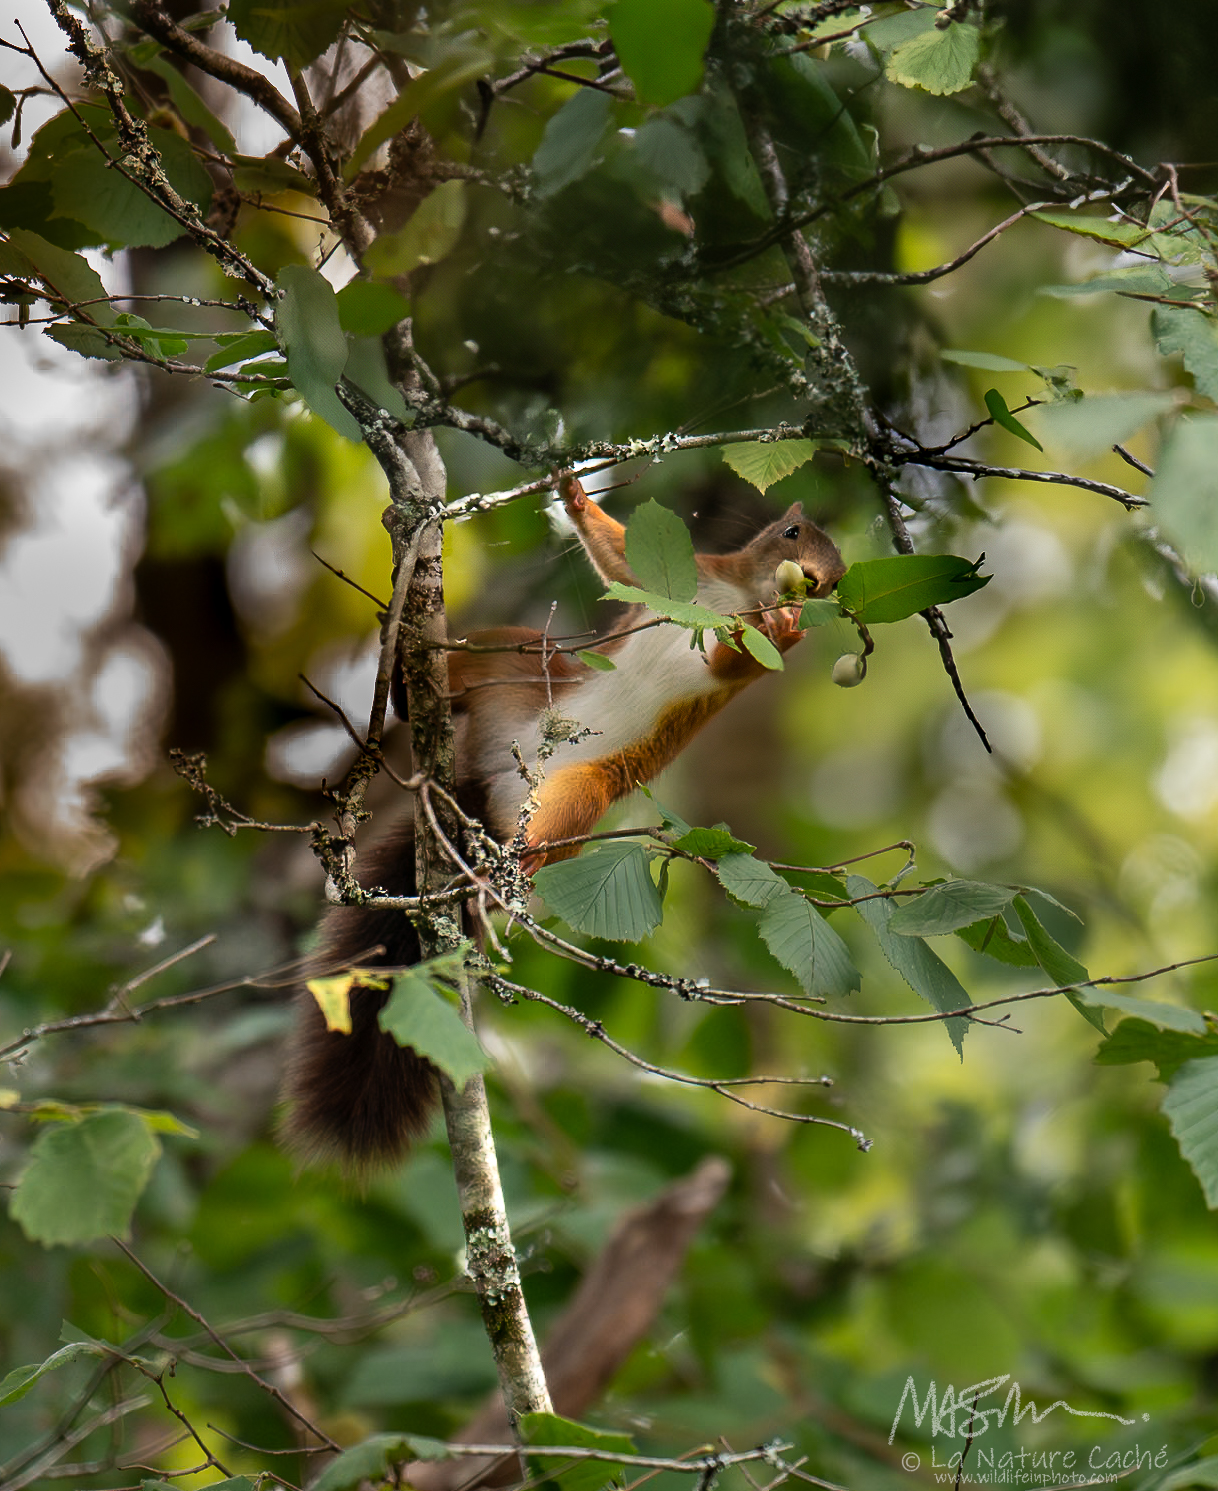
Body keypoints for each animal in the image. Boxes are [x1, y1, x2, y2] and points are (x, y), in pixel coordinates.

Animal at [280, 476, 846, 1170]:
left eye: (839, 582)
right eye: (792, 533)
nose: (812, 582)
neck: (741, 596)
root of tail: (485, 780)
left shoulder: (734, 666)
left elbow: (736, 662)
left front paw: (785, 628)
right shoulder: (688, 578)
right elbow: (622, 559)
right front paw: (571, 493)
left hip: (575, 795)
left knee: (540, 840)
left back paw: (506, 877)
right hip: (520, 666)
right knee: (478, 665)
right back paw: (412, 681)